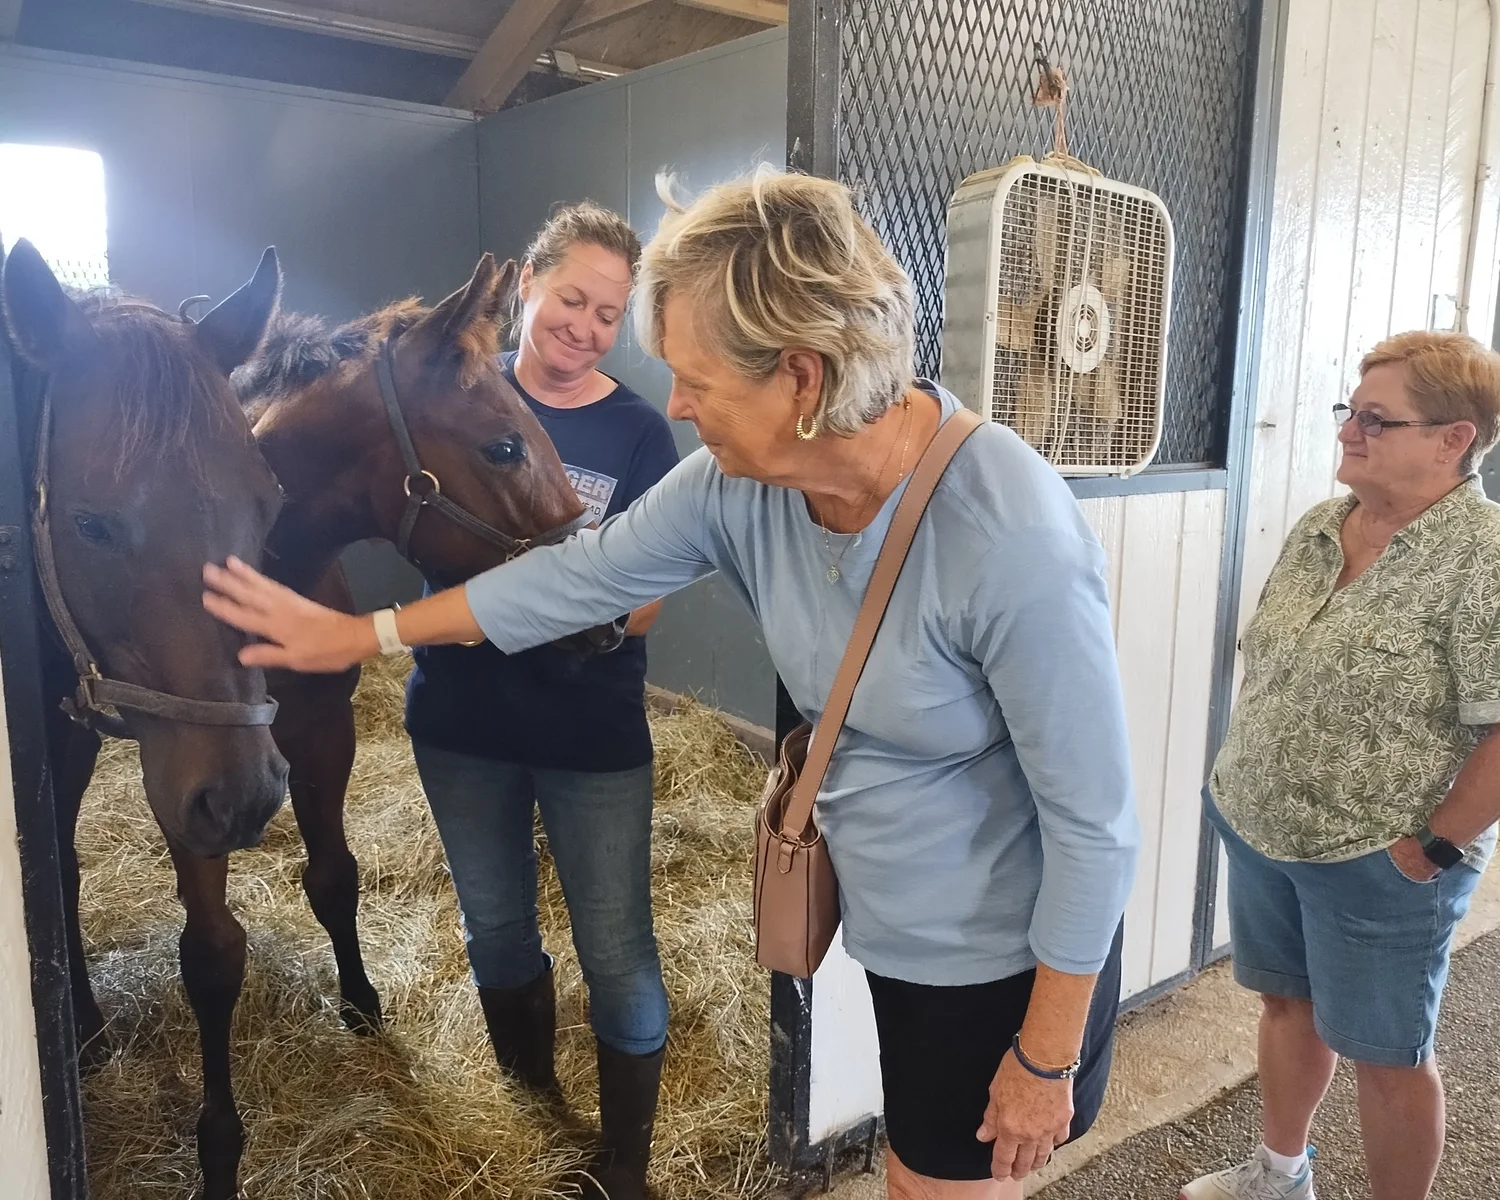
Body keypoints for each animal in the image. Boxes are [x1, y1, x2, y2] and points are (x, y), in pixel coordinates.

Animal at [2, 239, 289, 1200]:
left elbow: (213, 954)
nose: (248, 797)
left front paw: (220, 1155)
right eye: (90, 524)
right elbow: (55, 873)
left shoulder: (185, 767)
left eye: (269, 502)